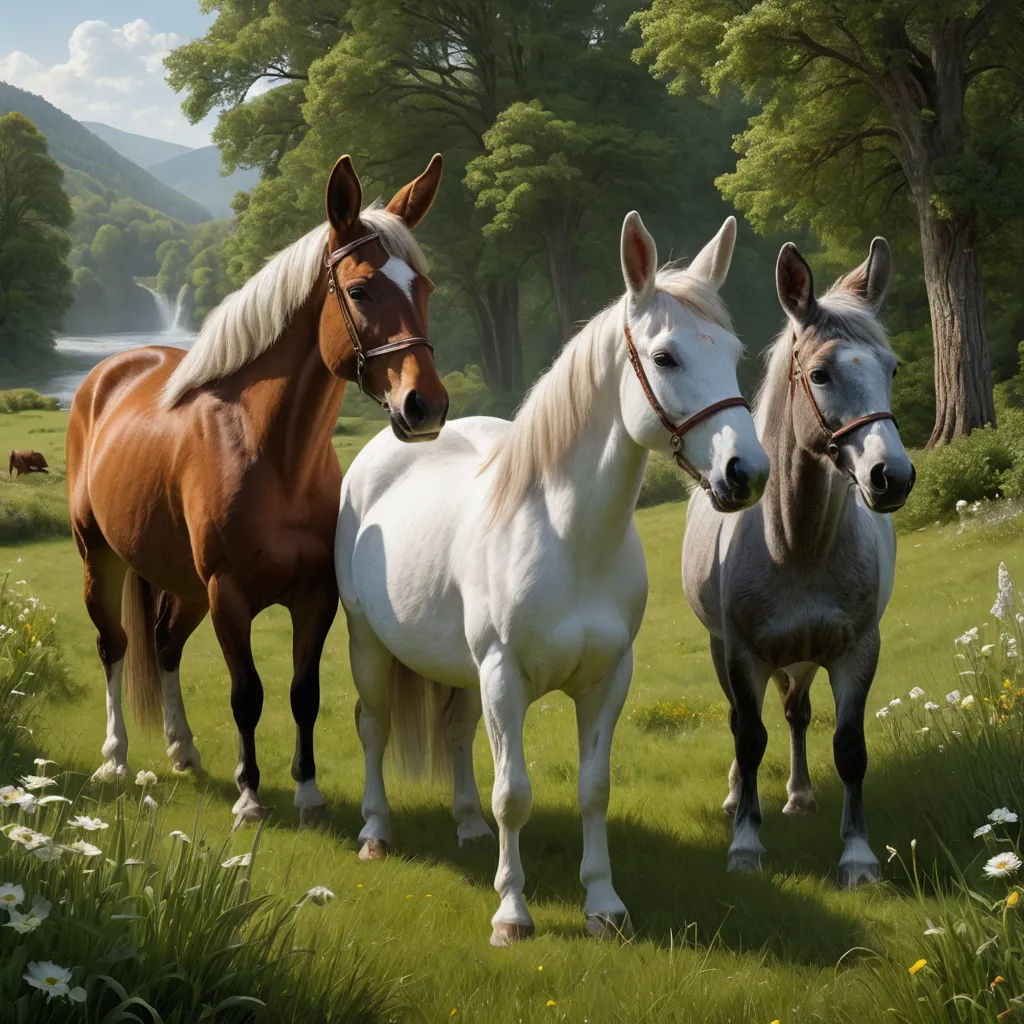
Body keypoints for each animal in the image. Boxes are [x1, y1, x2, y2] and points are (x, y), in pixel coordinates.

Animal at [66, 153, 449, 827]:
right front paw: (249, 798)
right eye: (359, 290)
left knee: (164, 645)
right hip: (102, 557)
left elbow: (303, 693)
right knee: (113, 646)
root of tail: (107, 375)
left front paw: (307, 793)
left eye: (423, 288)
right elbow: (248, 694)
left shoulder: (315, 596)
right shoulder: (230, 595)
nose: (424, 406)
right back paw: (115, 758)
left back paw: (183, 751)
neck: (270, 454)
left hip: (184, 584)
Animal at [335, 210, 771, 945]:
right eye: (666, 357)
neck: (569, 540)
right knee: (373, 725)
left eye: (733, 353)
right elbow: (514, 793)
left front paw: (604, 904)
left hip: (460, 670)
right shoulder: (504, 677)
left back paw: (468, 828)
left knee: (456, 734)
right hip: (368, 643)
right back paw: (374, 832)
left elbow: (593, 789)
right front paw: (512, 914)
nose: (748, 473)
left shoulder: (605, 680)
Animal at [681, 237, 915, 887]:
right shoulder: (740, 654)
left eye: (891, 368)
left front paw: (857, 856)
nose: (892, 476)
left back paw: (800, 795)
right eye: (819, 374)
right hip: (722, 649)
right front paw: (744, 844)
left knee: (796, 713)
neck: (794, 545)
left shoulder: (857, 651)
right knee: (743, 722)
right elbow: (747, 737)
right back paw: (739, 796)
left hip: (806, 657)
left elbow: (849, 748)